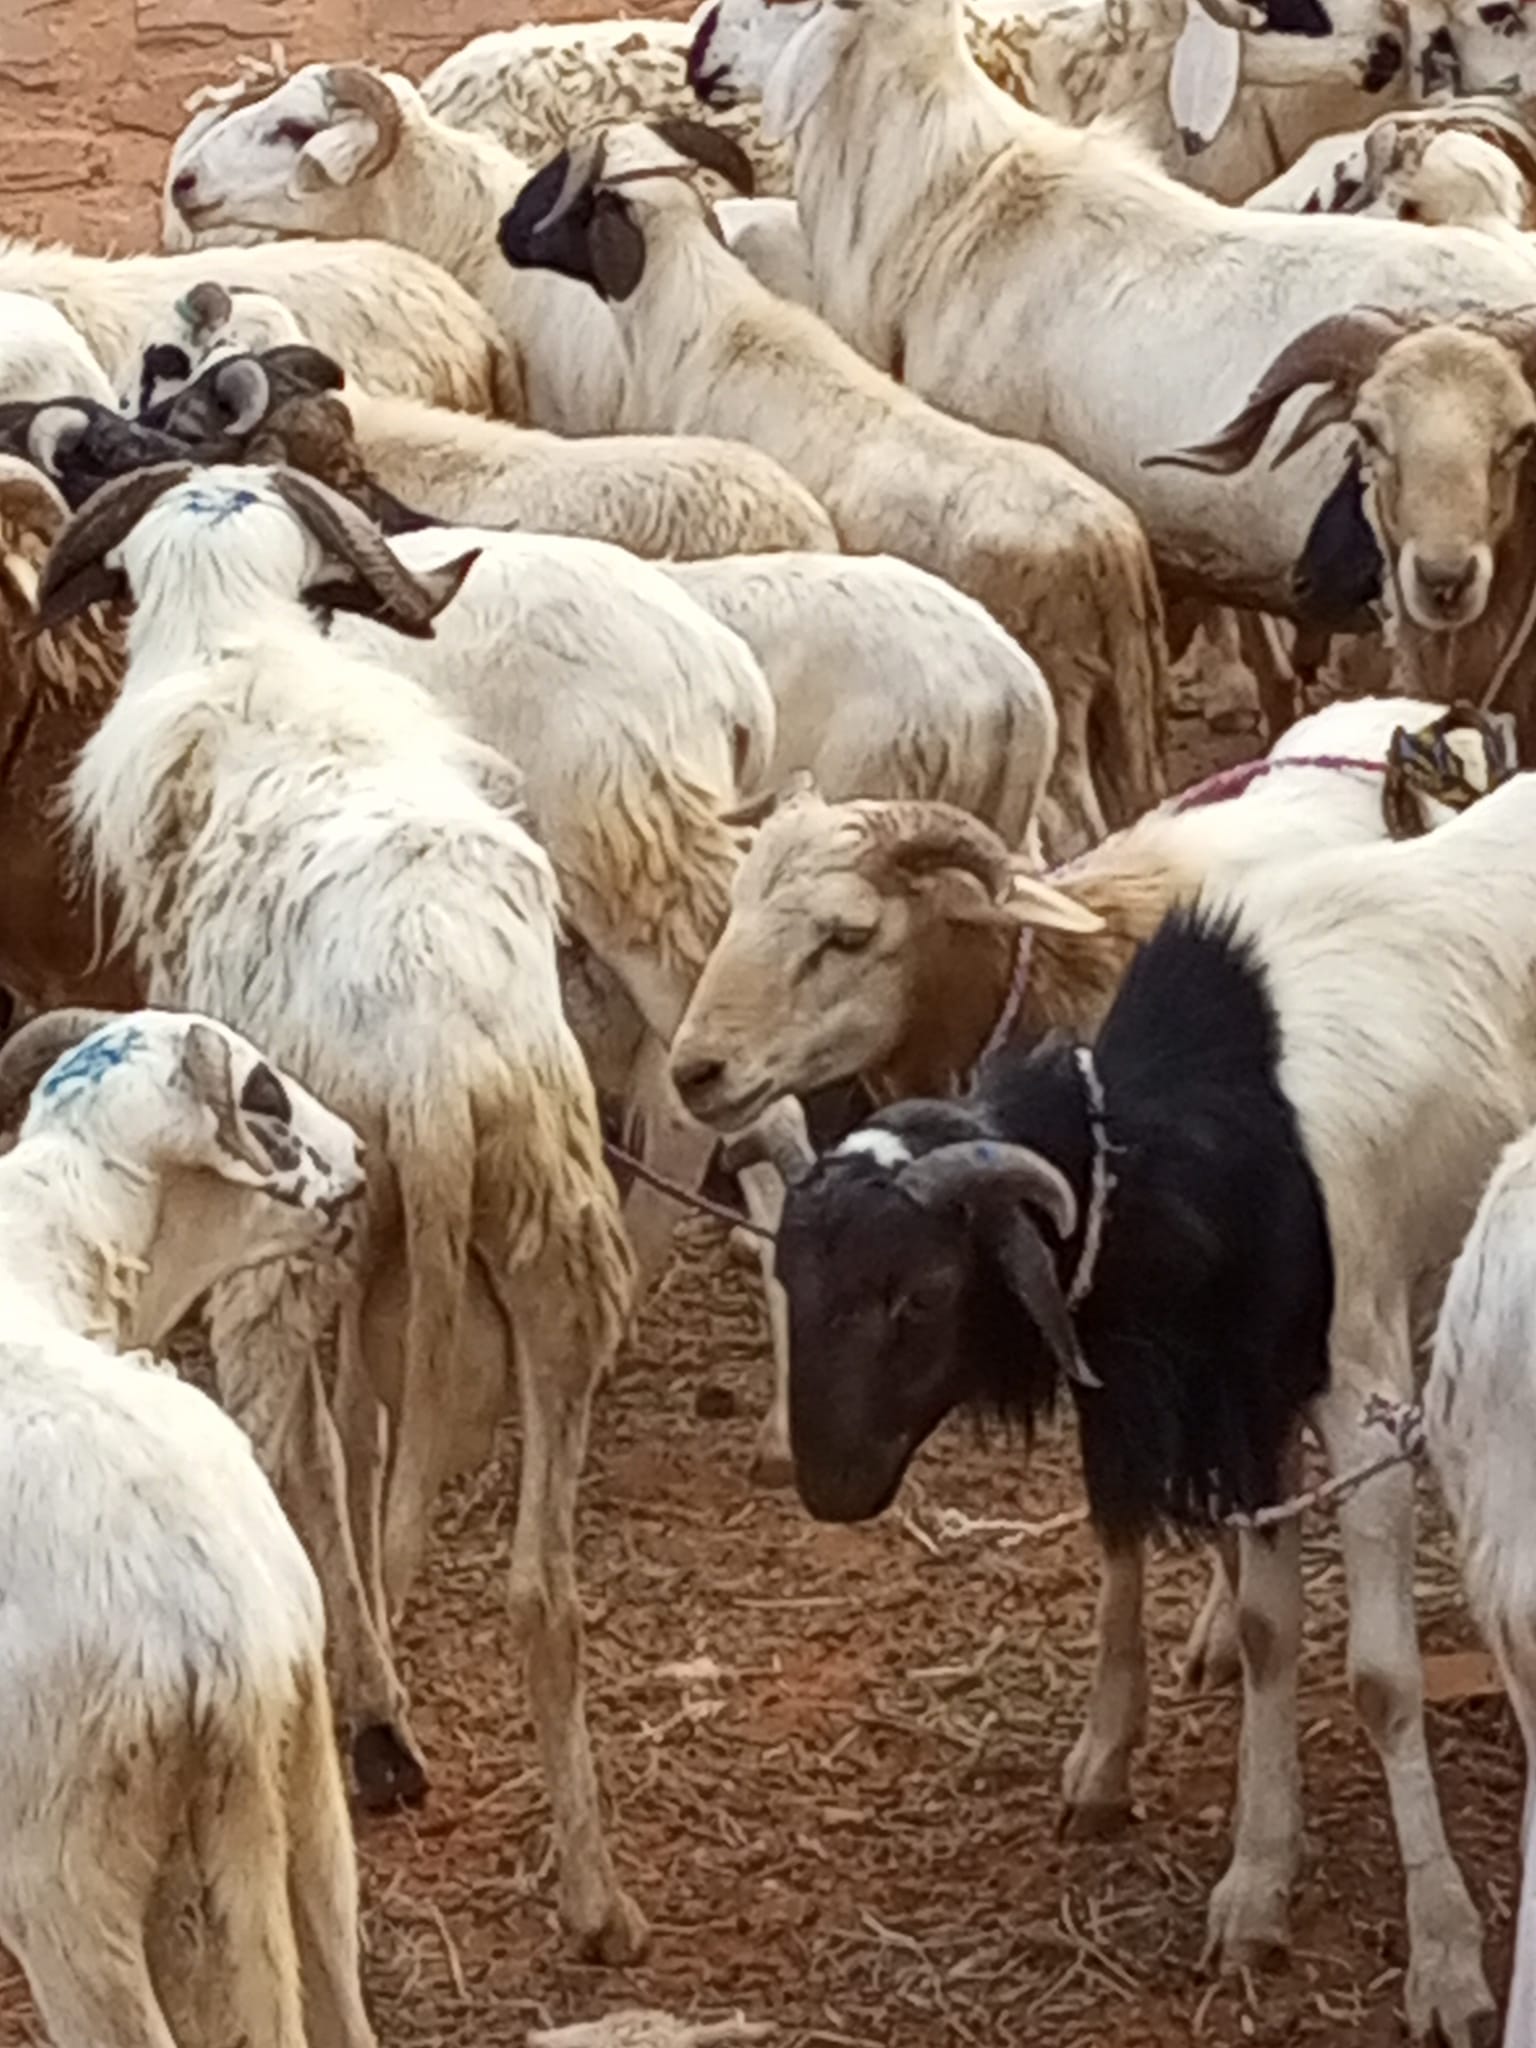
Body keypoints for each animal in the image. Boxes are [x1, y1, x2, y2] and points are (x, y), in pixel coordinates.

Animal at [40, 462, 644, 1957]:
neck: (241, 656)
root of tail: (432, 1057)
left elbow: (331, 1455)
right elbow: (373, 1445)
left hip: (285, 1270)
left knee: (292, 1467)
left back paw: (375, 1735)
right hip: (557, 1257)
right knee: (541, 1587)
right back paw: (595, 1901)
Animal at [502, 122, 1169, 847]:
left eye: (561, 179)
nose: (506, 230)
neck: (704, 327)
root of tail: (1111, 543)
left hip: (1063, 688)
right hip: (1120, 696)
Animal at [772, 764, 1536, 2041]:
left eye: (919, 1292)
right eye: (793, 1276)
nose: (828, 1486)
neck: (1222, 1116)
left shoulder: (1361, 1381)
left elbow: (1380, 1680)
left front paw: (1442, 1954)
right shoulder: (1245, 1398)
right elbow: (1273, 1631)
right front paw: (1256, 1884)